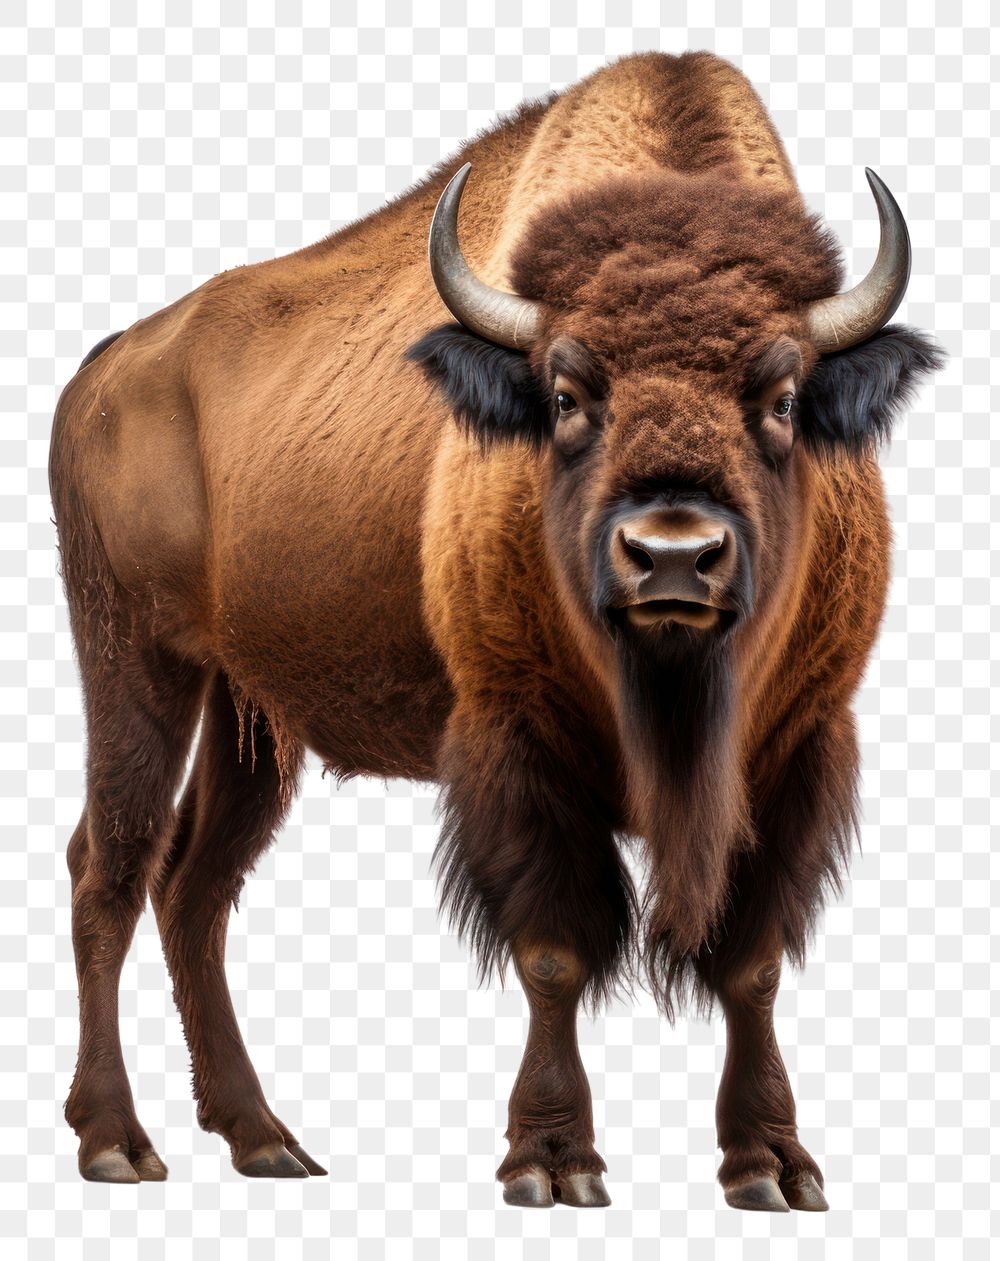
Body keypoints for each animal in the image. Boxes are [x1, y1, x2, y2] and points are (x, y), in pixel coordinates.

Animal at [50, 51, 942, 1207]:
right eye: (564, 394)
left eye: (783, 396)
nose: (671, 554)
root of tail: (108, 366)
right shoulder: (519, 742)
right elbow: (554, 952)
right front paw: (554, 1165)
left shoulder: (798, 750)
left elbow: (750, 962)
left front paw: (773, 1166)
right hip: (134, 659)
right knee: (110, 865)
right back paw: (116, 1141)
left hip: (251, 711)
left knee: (193, 885)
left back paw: (263, 1139)